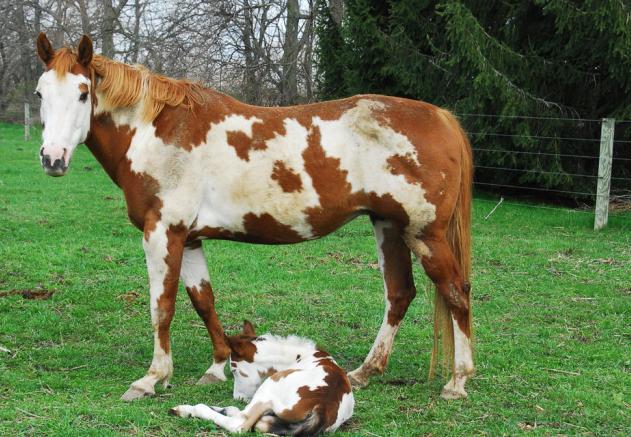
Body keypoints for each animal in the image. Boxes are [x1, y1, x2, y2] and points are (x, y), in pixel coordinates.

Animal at [32, 33, 472, 402]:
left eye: (83, 94)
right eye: (40, 93)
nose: (52, 159)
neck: (157, 132)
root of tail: (442, 117)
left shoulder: (163, 232)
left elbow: (163, 306)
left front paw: (153, 378)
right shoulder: (189, 237)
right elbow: (203, 301)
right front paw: (216, 367)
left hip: (425, 234)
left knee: (456, 292)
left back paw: (457, 381)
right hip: (388, 226)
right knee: (399, 295)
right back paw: (366, 372)